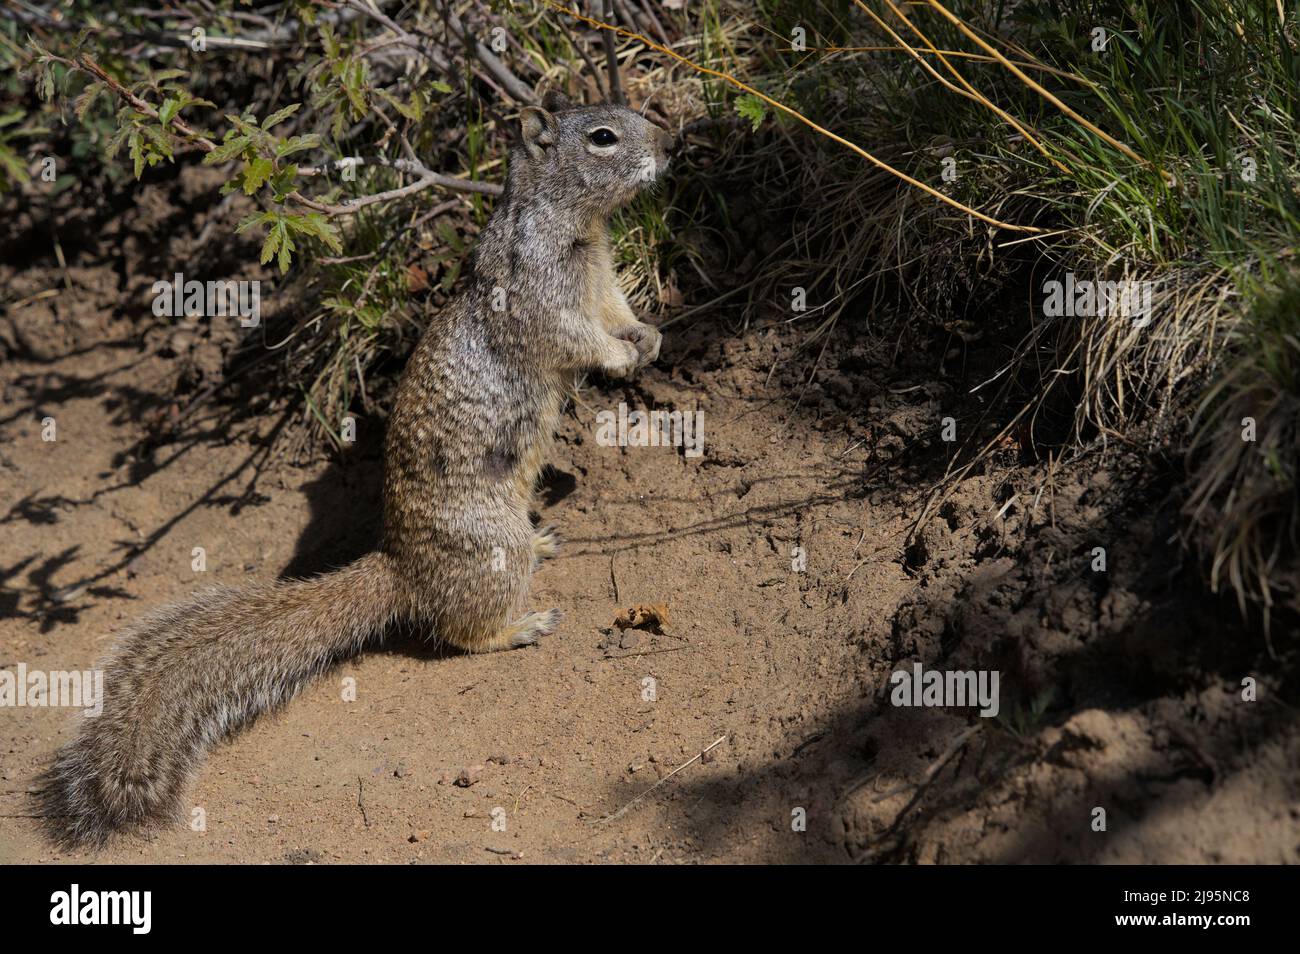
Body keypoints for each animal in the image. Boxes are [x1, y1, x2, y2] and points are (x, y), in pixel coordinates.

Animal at [36, 90, 674, 848]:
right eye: (603, 137)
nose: (671, 145)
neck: (573, 225)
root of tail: (400, 568)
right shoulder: (543, 296)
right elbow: (578, 337)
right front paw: (620, 357)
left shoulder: (602, 281)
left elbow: (618, 311)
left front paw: (649, 338)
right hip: (491, 552)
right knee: (459, 634)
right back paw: (520, 626)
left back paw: (544, 541)